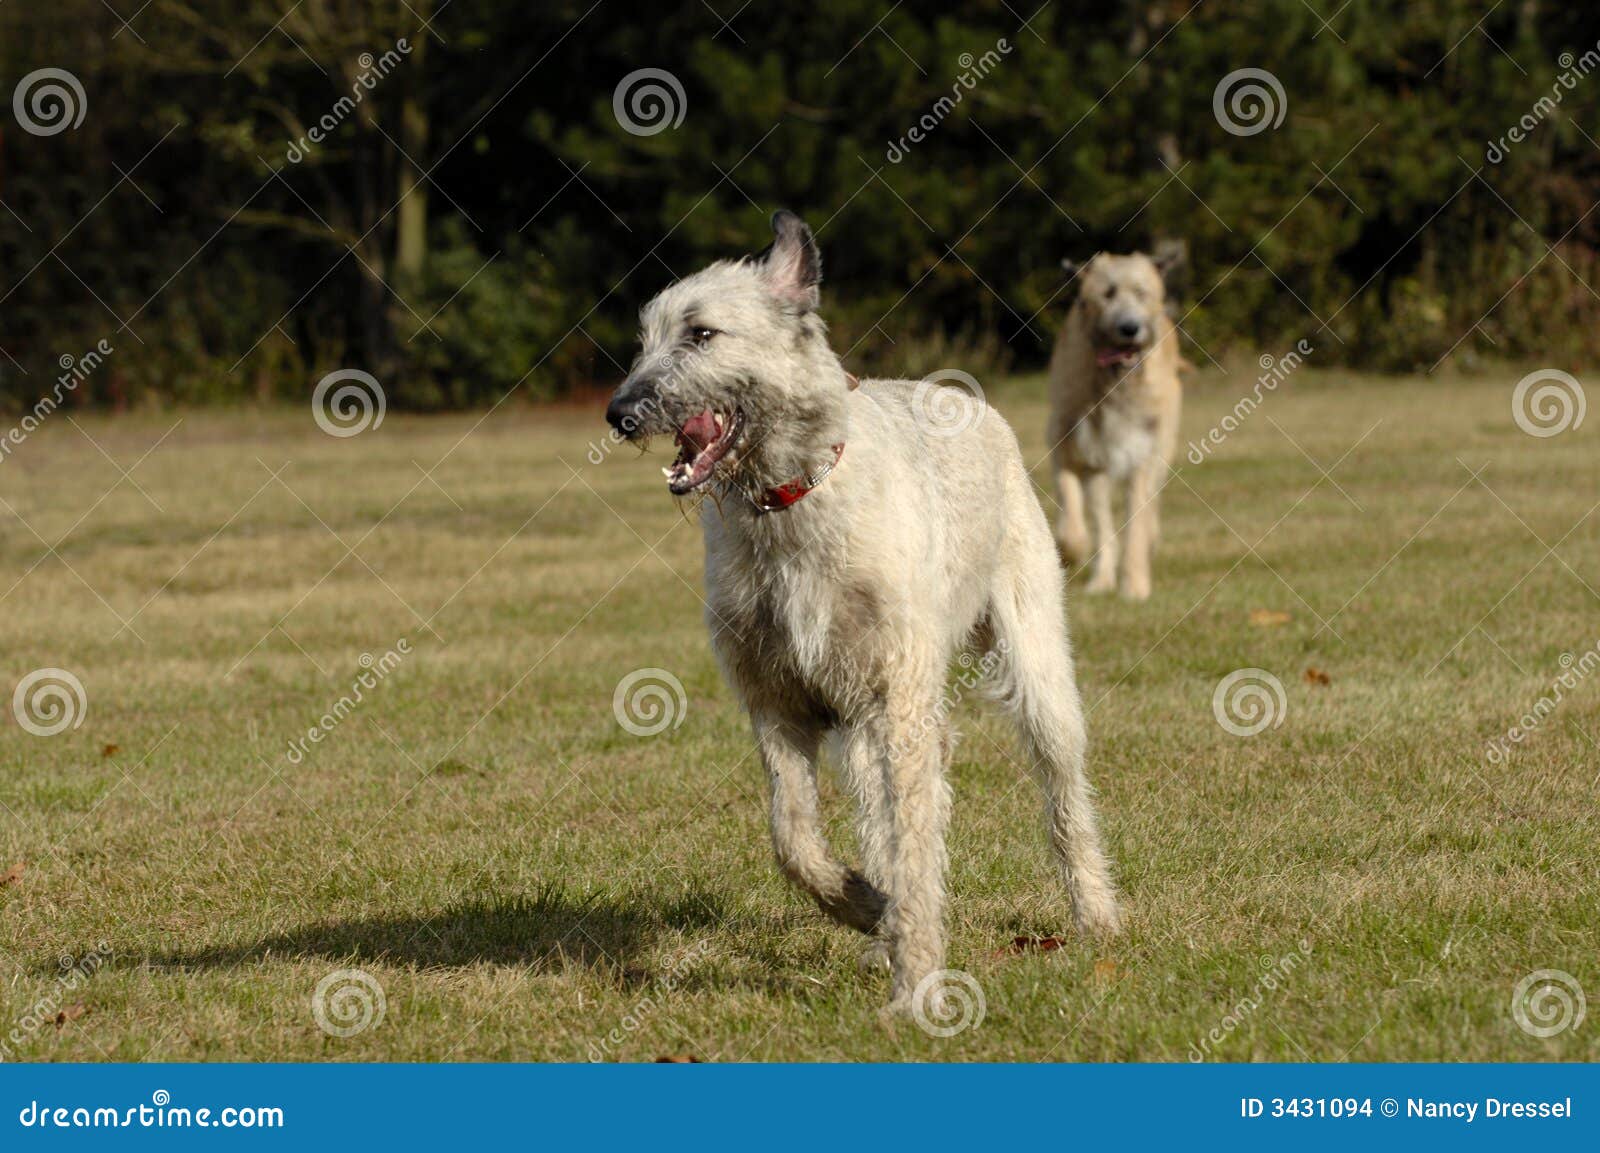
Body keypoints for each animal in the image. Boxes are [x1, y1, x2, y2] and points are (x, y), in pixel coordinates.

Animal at [604, 211, 1121, 1014]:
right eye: (645, 338)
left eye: (701, 333)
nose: (620, 412)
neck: (789, 500)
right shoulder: (777, 701)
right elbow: (793, 839)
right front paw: (865, 905)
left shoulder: (898, 696)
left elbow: (915, 844)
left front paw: (917, 983)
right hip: (862, 729)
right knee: (879, 810)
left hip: (1033, 669)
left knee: (1062, 792)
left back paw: (1094, 912)